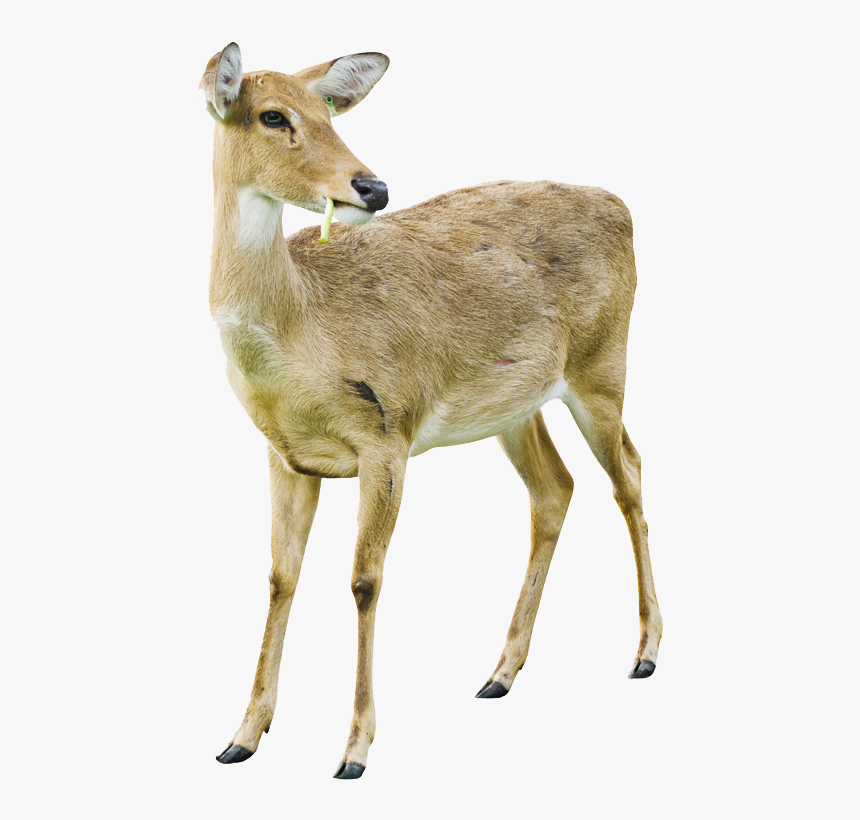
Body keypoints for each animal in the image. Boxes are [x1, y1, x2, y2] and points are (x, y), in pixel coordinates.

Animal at [199, 42, 662, 779]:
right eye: (272, 115)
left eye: (328, 111)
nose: (372, 188)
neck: (302, 327)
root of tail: (621, 203)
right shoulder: (285, 453)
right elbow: (279, 576)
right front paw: (240, 737)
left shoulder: (388, 433)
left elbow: (364, 579)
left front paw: (355, 751)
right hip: (514, 406)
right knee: (555, 488)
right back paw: (499, 673)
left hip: (602, 367)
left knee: (632, 475)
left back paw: (644, 653)